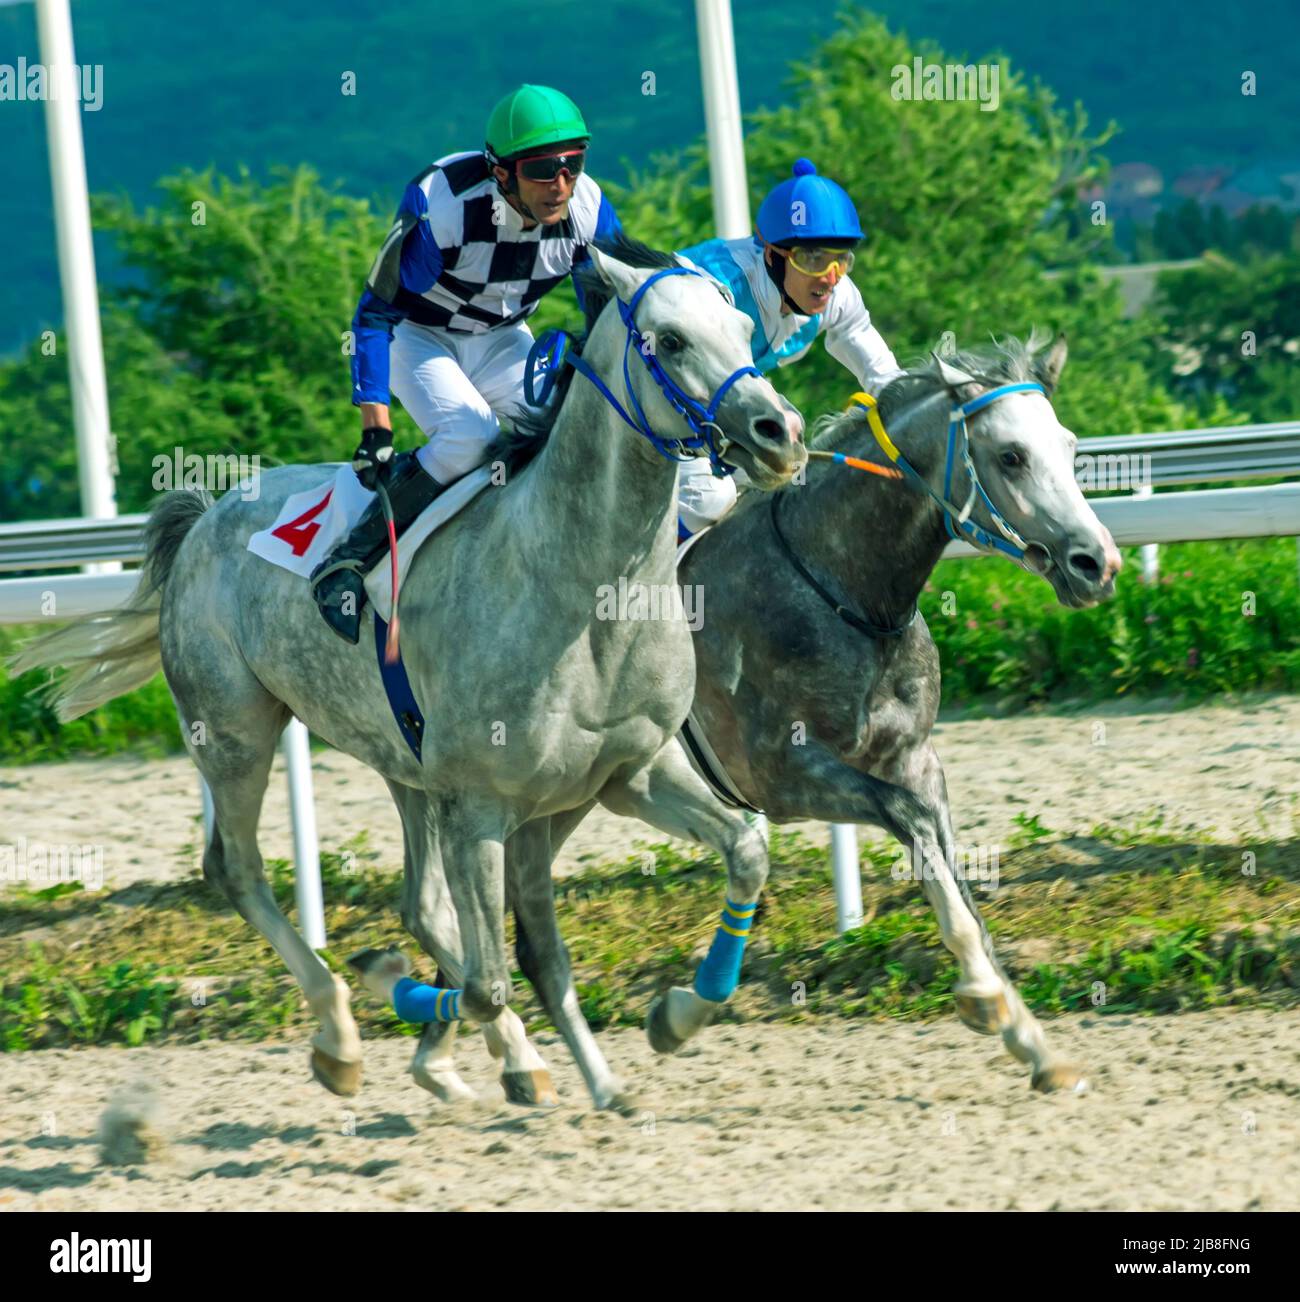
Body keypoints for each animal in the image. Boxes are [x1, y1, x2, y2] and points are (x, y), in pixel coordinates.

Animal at [8, 234, 806, 1113]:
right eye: (667, 340)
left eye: (744, 327)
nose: (780, 433)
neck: (588, 586)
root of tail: (205, 518)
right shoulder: (481, 803)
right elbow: (491, 981)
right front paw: (410, 1001)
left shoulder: (626, 773)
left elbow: (744, 853)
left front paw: (674, 1017)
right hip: (235, 729)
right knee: (239, 869)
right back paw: (342, 1032)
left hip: (405, 766)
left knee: (425, 906)